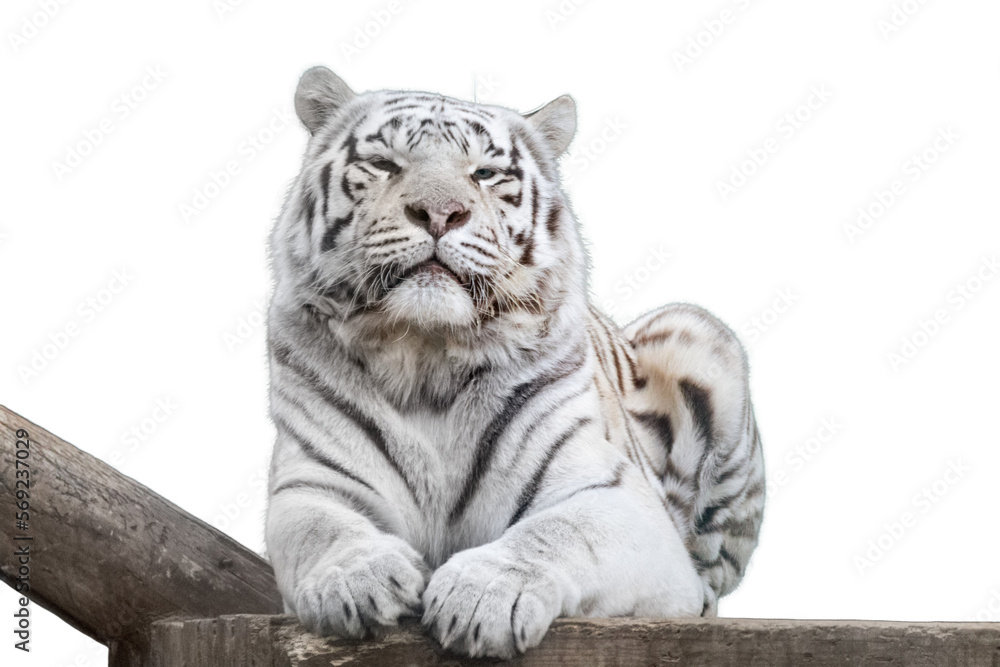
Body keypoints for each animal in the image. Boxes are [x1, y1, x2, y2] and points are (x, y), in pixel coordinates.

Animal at [264, 66, 765, 660]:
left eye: (483, 173)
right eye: (386, 163)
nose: (439, 213)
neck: (425, 359)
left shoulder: (613, 496)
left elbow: (558, 535)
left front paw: (484, 596)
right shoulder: (311, 481)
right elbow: (319, 530)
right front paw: (359, 580)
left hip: (699, 333)